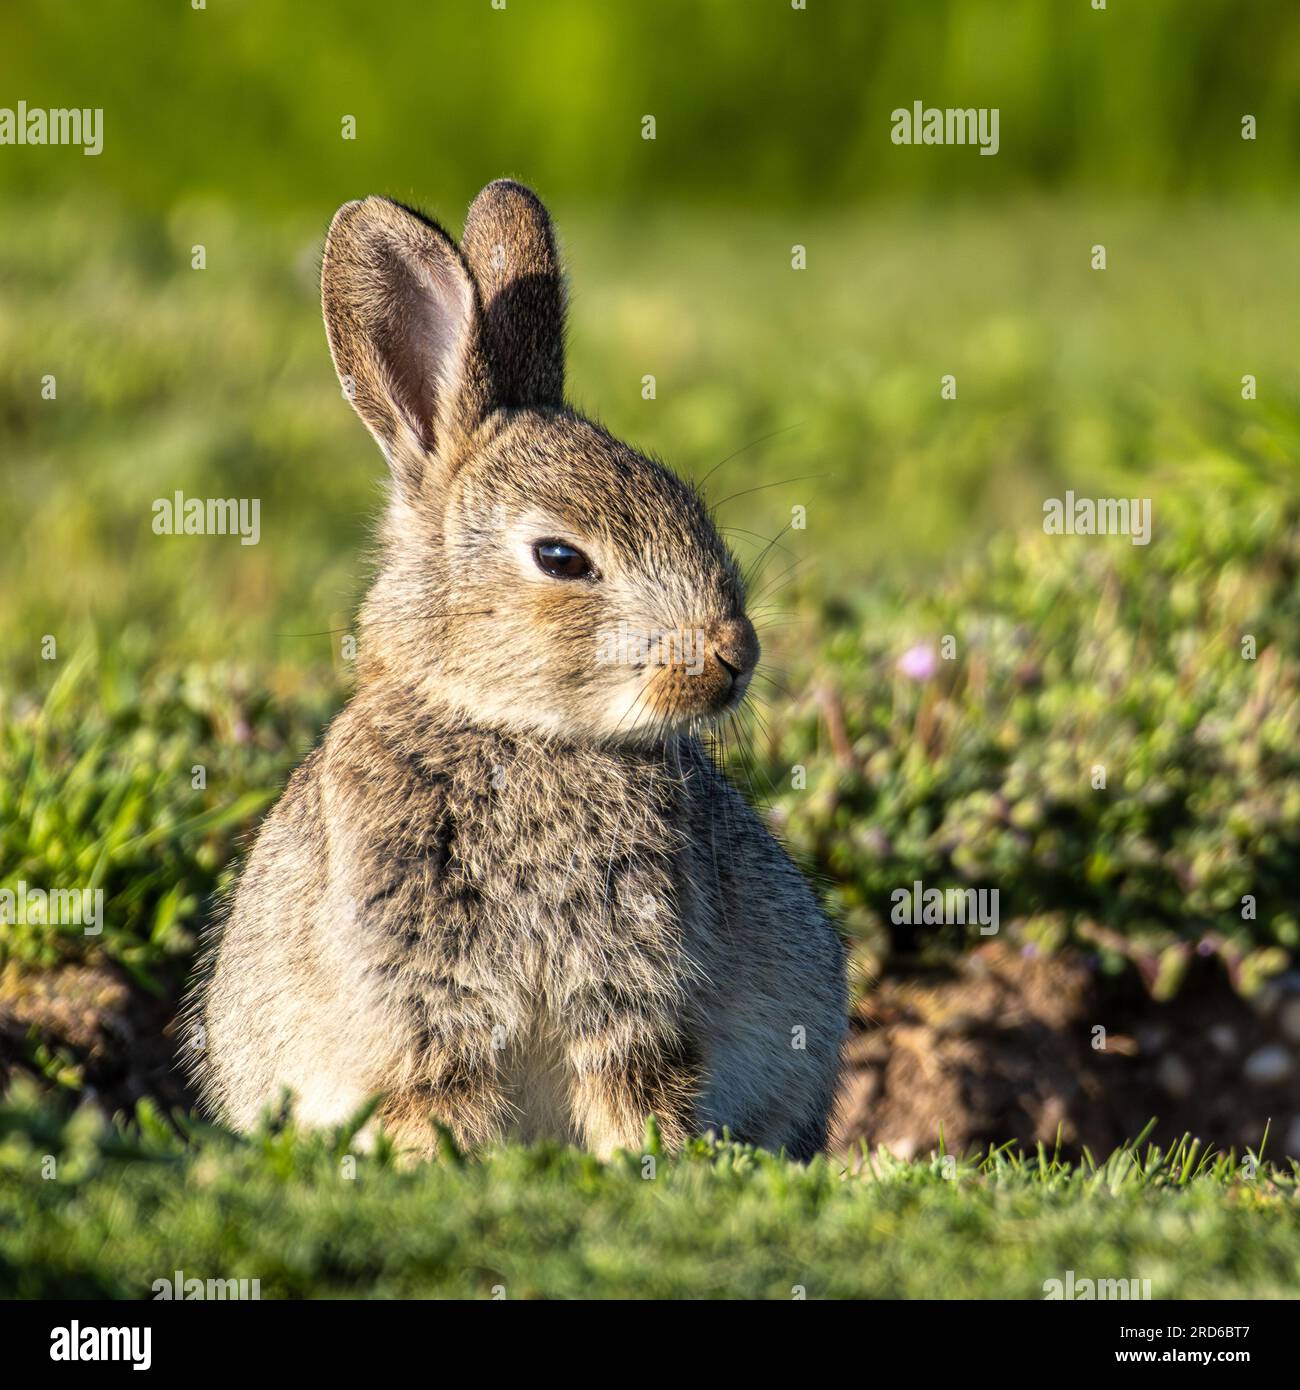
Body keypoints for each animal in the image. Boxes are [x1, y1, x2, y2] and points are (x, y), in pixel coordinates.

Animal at [186, 180, 846, 1160]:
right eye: (560, 558)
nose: (734, 655)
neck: (515, 731)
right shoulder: (421, 998)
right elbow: (439, 1096)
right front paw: (446, 1164)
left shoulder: (635, 991)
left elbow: (634, 1088)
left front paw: (648, 1161)